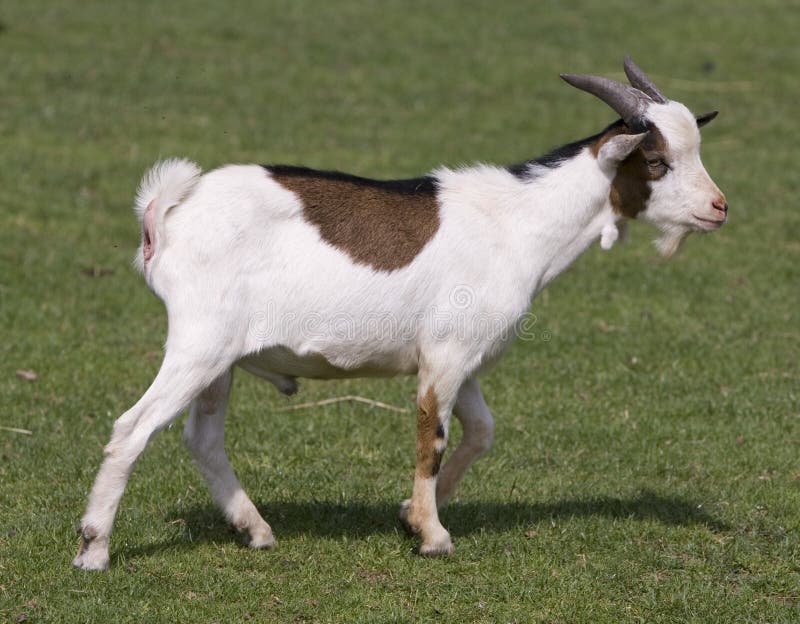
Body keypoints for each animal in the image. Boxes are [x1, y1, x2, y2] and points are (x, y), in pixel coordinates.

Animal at [74, 57, 727, 570]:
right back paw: (94, 550)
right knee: (132, 429)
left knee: (202, 437)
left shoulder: (464, 356)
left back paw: (254, 530)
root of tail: (167, 213)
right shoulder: (446, 356)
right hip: (199, 342)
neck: (517, 223)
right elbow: (431, 437)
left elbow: (482, 432)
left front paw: (411, 514)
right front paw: (434, 536)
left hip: (220, 357)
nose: (719, 207)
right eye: (657, 162)